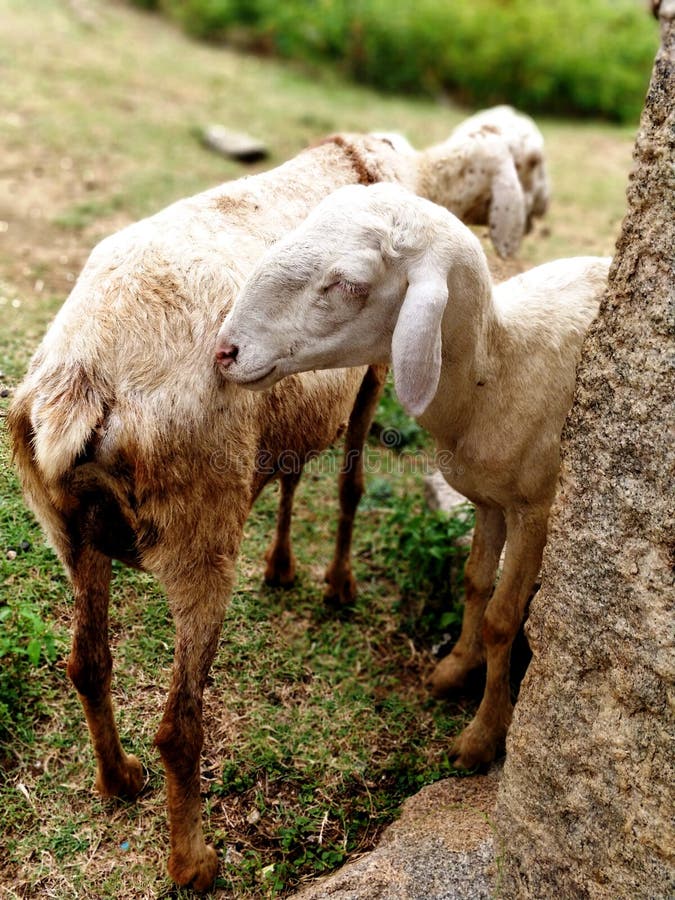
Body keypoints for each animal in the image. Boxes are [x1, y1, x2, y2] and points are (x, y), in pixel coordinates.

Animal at [8, 116, 547, 889]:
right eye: (530, 163)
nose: (542, 215)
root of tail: (81, 380)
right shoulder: (372, 366)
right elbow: (349, 483)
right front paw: (336, 585)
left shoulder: (297, 403)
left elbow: (294, 473)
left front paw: (283, 565)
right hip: (198, 528)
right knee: (180, 725)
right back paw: (192, 860)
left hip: (70, 530)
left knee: (86, 664)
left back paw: (118, 778)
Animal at [215, 181, 610, 770]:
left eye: (350, 284)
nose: (224, 352)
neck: (496, 370)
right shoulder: (487, 500)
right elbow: (474, 583)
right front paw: (454, 669)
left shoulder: (534, 511)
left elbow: (502, 617)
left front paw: (482, 738)